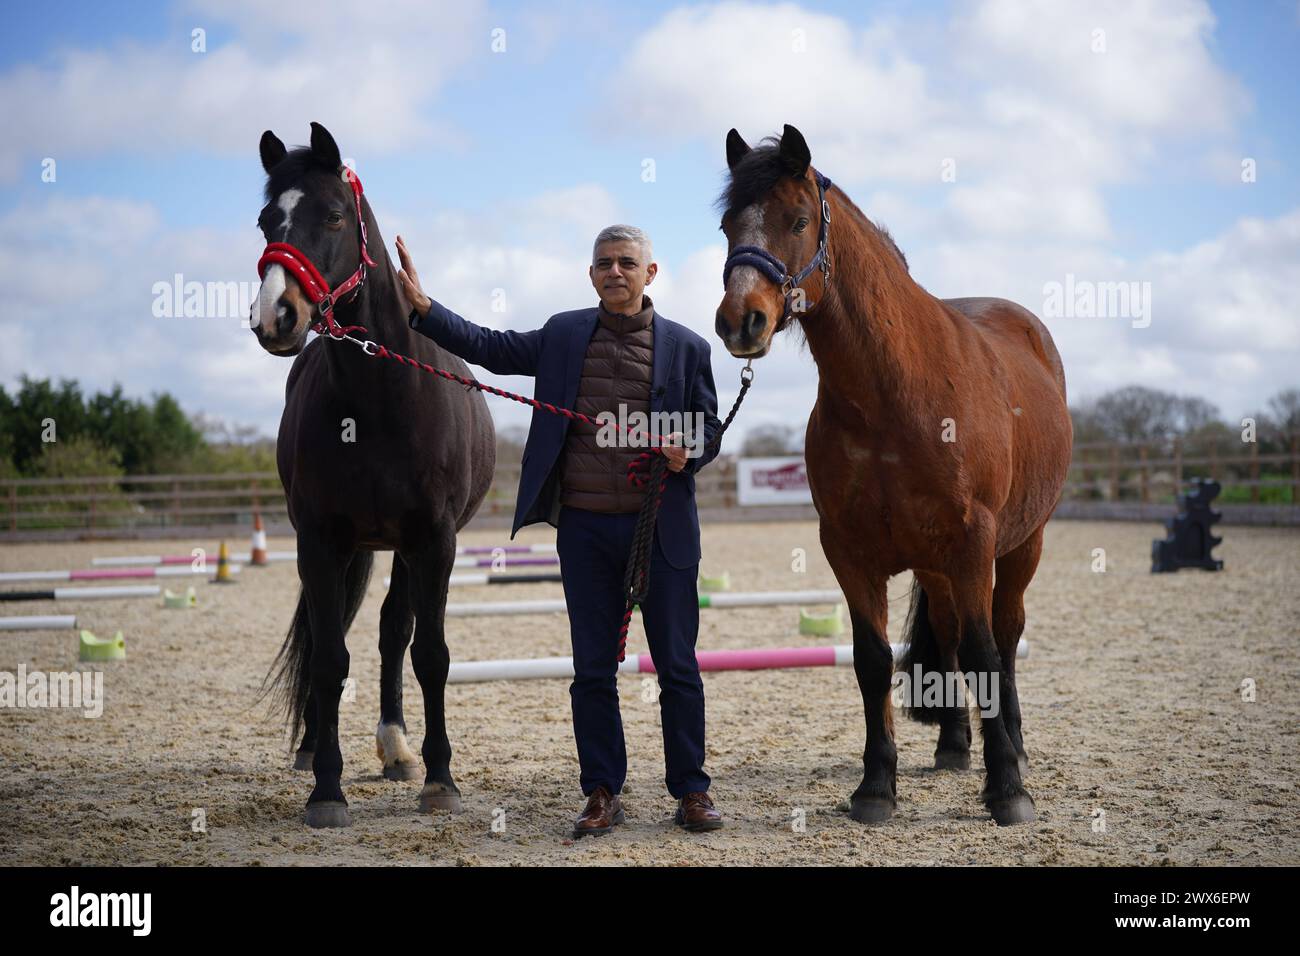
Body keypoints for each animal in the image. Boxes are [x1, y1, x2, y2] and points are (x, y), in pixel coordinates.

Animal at [252, 122, 496, 827]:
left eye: (334, 215)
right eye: (266, 222)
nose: (276, 315)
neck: (376, 399)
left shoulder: (434, 541)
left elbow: (429, 654)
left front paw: (439, 779)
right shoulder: (319, 540)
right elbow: (329, 656)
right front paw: (325, 789)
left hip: (404, 549)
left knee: (394, 632)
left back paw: (397, 748)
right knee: (332, 634)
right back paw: (316, 747)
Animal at [714, 125, 1072, 826]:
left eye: (798, 220)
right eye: (726, 225)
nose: (741, 321)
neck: (892, 396)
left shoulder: (975, 541)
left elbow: (987, 654)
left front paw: (1008, 790)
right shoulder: (849, 550)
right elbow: (874, 660)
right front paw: (877, 785)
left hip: (1022, 546)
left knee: (1004, 638)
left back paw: (1013, 748)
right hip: (937, 565)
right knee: (952, 638)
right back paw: (956, 745)